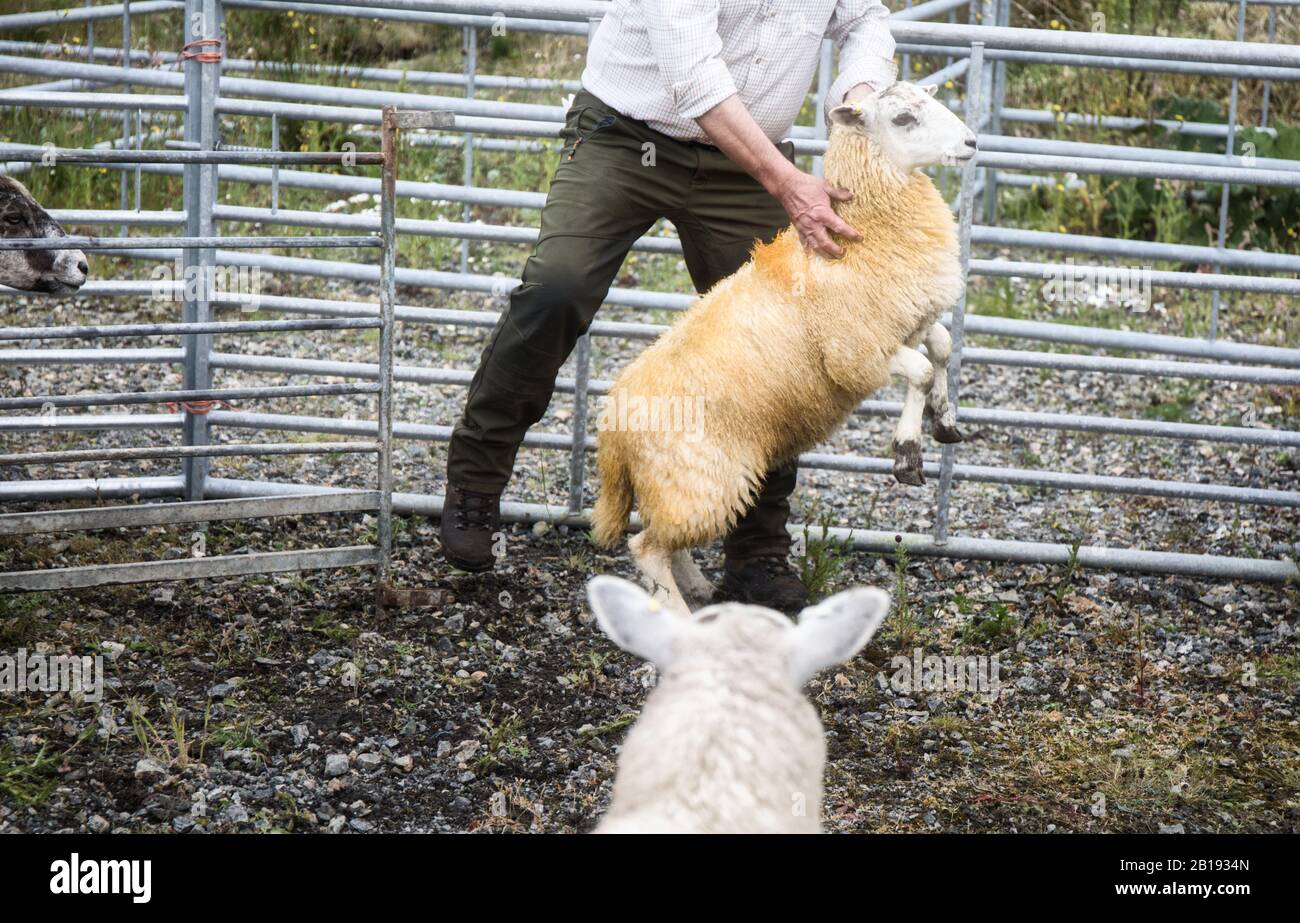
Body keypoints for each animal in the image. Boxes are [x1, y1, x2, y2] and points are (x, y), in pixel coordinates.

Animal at [591, 81, 976, 613]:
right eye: (903, 119)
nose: (972, 143)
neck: (866, 230)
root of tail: (613, 431)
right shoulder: (856, 352)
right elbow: (919, 370)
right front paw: (907, 454)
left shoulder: (906, 324)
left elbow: (940, 348)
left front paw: (944, 418)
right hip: (701, 479)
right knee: (645, 547)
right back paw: (678, 613)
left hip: (675, 486)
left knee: (663, 540)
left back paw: (697, 587)